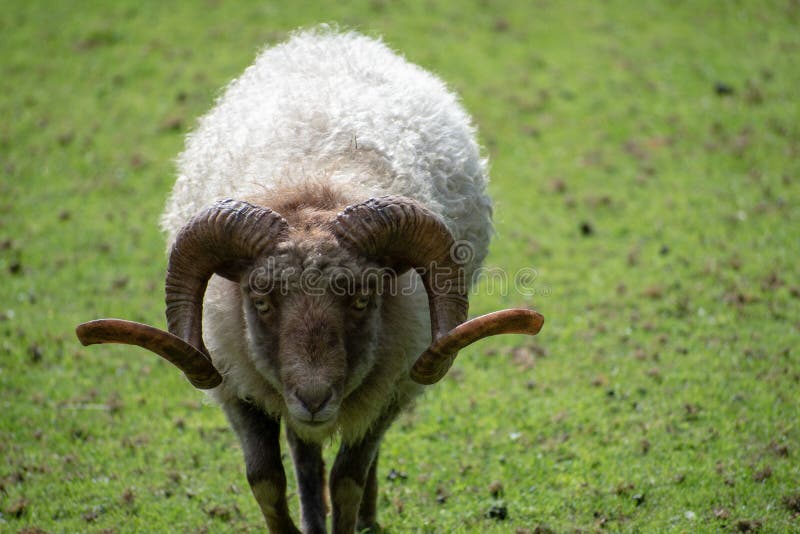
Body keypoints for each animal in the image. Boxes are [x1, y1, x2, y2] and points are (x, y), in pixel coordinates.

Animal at [76, 28, 543, 533]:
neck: (310, 187)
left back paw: (368, 518)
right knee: (304, 455)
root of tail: (332, 39)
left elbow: (348, 479)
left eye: (363, 298)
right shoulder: (235, 384)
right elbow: (266, 479)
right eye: (259, 299)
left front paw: (353, 513)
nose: (315, 397)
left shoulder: (393, 383)